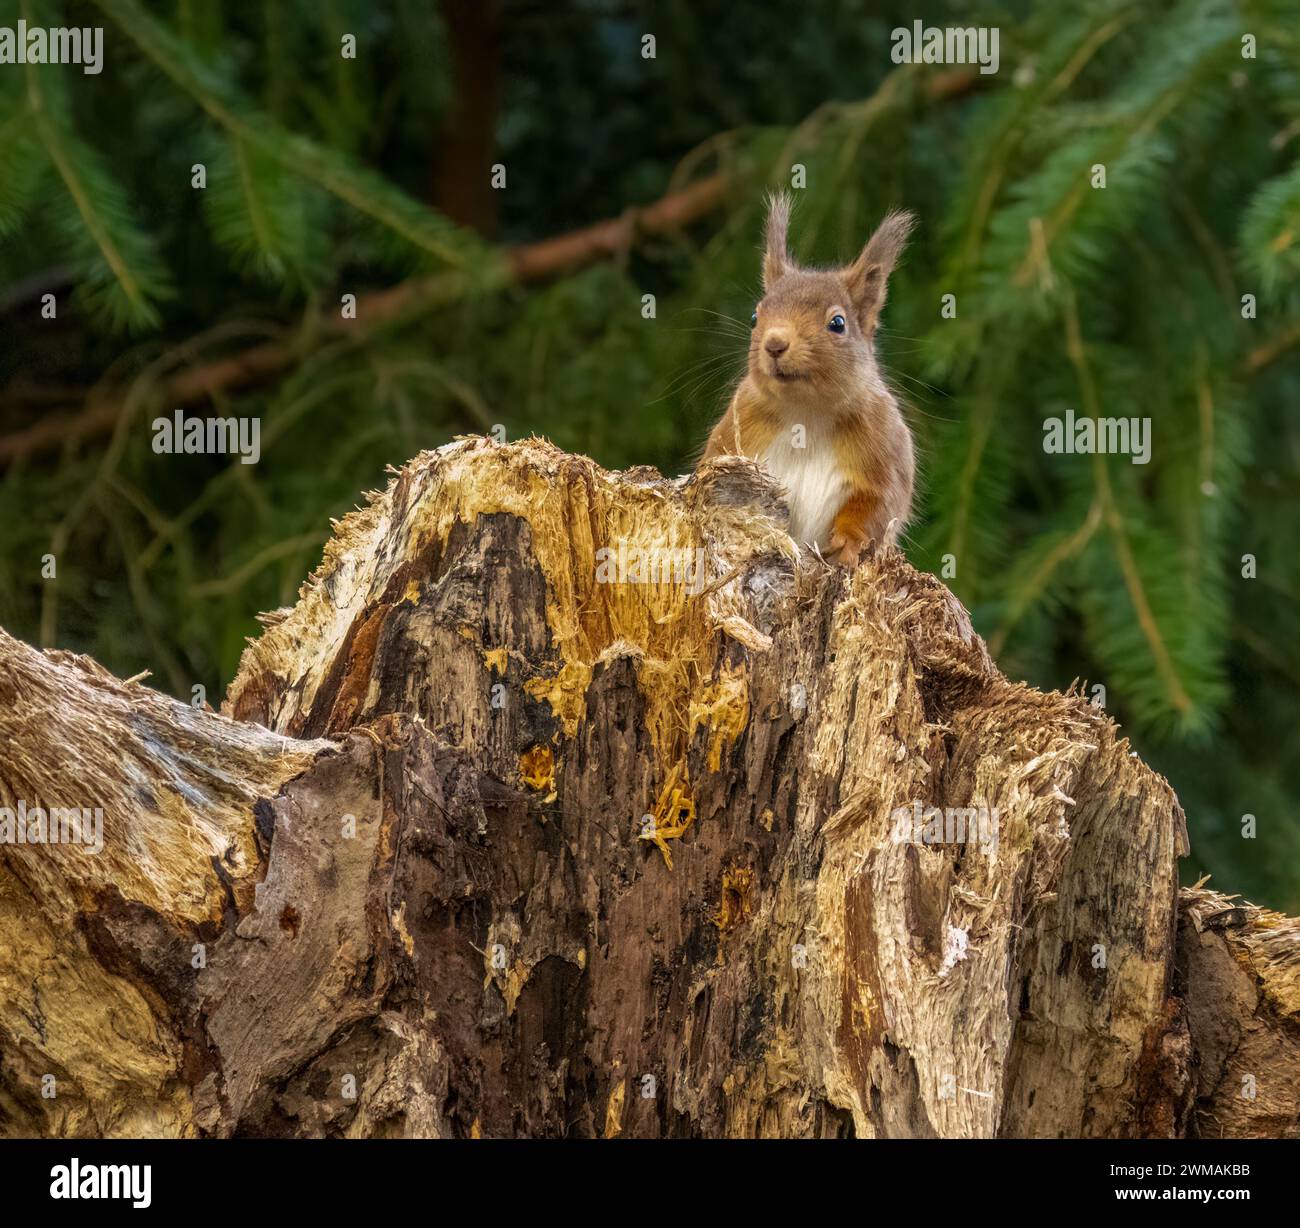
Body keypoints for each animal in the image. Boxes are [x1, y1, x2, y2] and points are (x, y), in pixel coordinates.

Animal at [699, 194, 916, 566]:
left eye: (838, 323)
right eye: (754, 316)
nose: (775, 343)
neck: (806, 411)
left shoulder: (884, 444)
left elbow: (879, 501)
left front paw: (848, 540)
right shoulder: (737, 426)